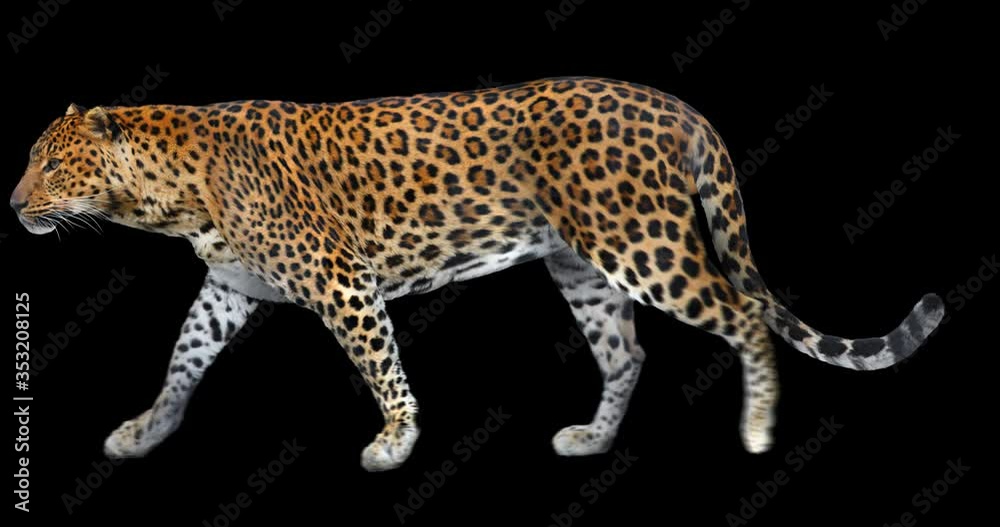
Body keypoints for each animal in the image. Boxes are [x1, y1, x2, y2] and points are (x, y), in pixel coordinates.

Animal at [11, 77, 944, 471]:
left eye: (52, 165)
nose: (14, 204)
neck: (169, 196)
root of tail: (680, 107)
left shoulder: (340, 277)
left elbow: (381, 360)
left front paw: (396, 439)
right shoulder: (229, 288)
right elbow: (183, 356)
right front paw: (147, 428)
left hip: (647, 246)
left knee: (744, 316)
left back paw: (755, 429)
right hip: (582, 264)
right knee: (627, 353)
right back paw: (592, 437)